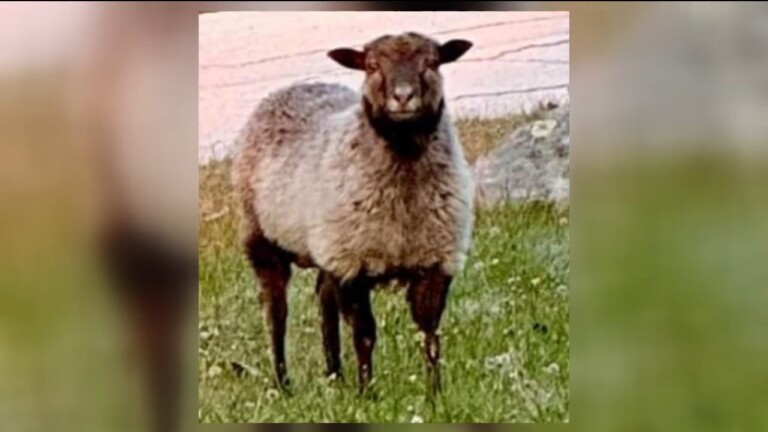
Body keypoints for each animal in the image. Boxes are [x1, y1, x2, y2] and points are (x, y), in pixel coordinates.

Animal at [233, 32, 475, 395]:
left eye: (432, 62)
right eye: (372, 66)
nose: (403, 97)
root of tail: (291, 89)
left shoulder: (435, 261)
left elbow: (430, 335)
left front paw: (435, 395)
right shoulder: (352, 264)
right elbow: (364, 335)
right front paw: (367, 394)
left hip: (325, 248)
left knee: (324, 301)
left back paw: (335, 374)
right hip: (263, 238)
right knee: (276, 313)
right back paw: (284, 383)